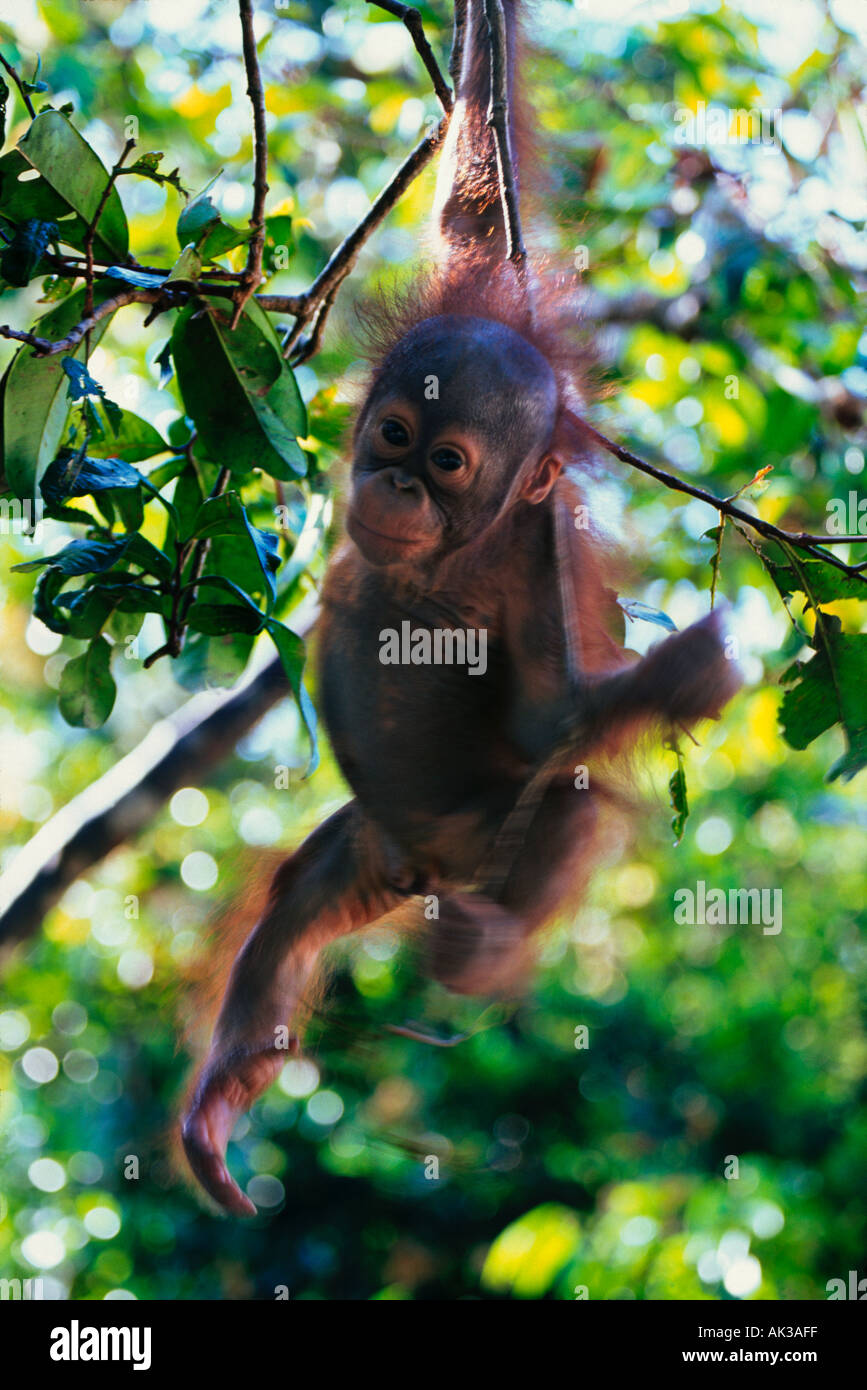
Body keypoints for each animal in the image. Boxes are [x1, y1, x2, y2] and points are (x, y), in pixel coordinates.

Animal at [181, 0, 741, 1216]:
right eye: (393, 435)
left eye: (446, 463)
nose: (394, 485)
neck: (447, 558)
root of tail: (425, 870)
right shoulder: (465, 271)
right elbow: (474, 194)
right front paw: (486, 27)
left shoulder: (533, 564)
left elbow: (553, 719)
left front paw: (696, 670)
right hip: (368, 848)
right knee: (296, 903)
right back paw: (230, 1085)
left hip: (485, 834)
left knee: (569, 804)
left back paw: (479, 953)